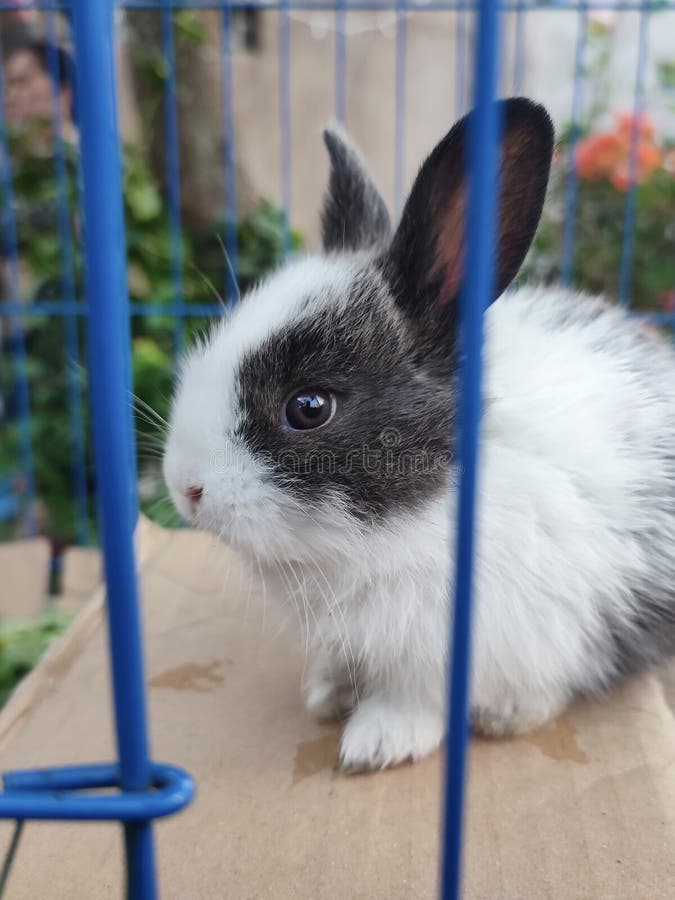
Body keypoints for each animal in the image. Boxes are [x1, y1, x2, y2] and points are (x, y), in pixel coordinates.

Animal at [163, 97, 675, 771]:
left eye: (308, 407)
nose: (185, 489)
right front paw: (326, 694)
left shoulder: (463, 645)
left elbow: (418, 697)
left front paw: (377, 742)